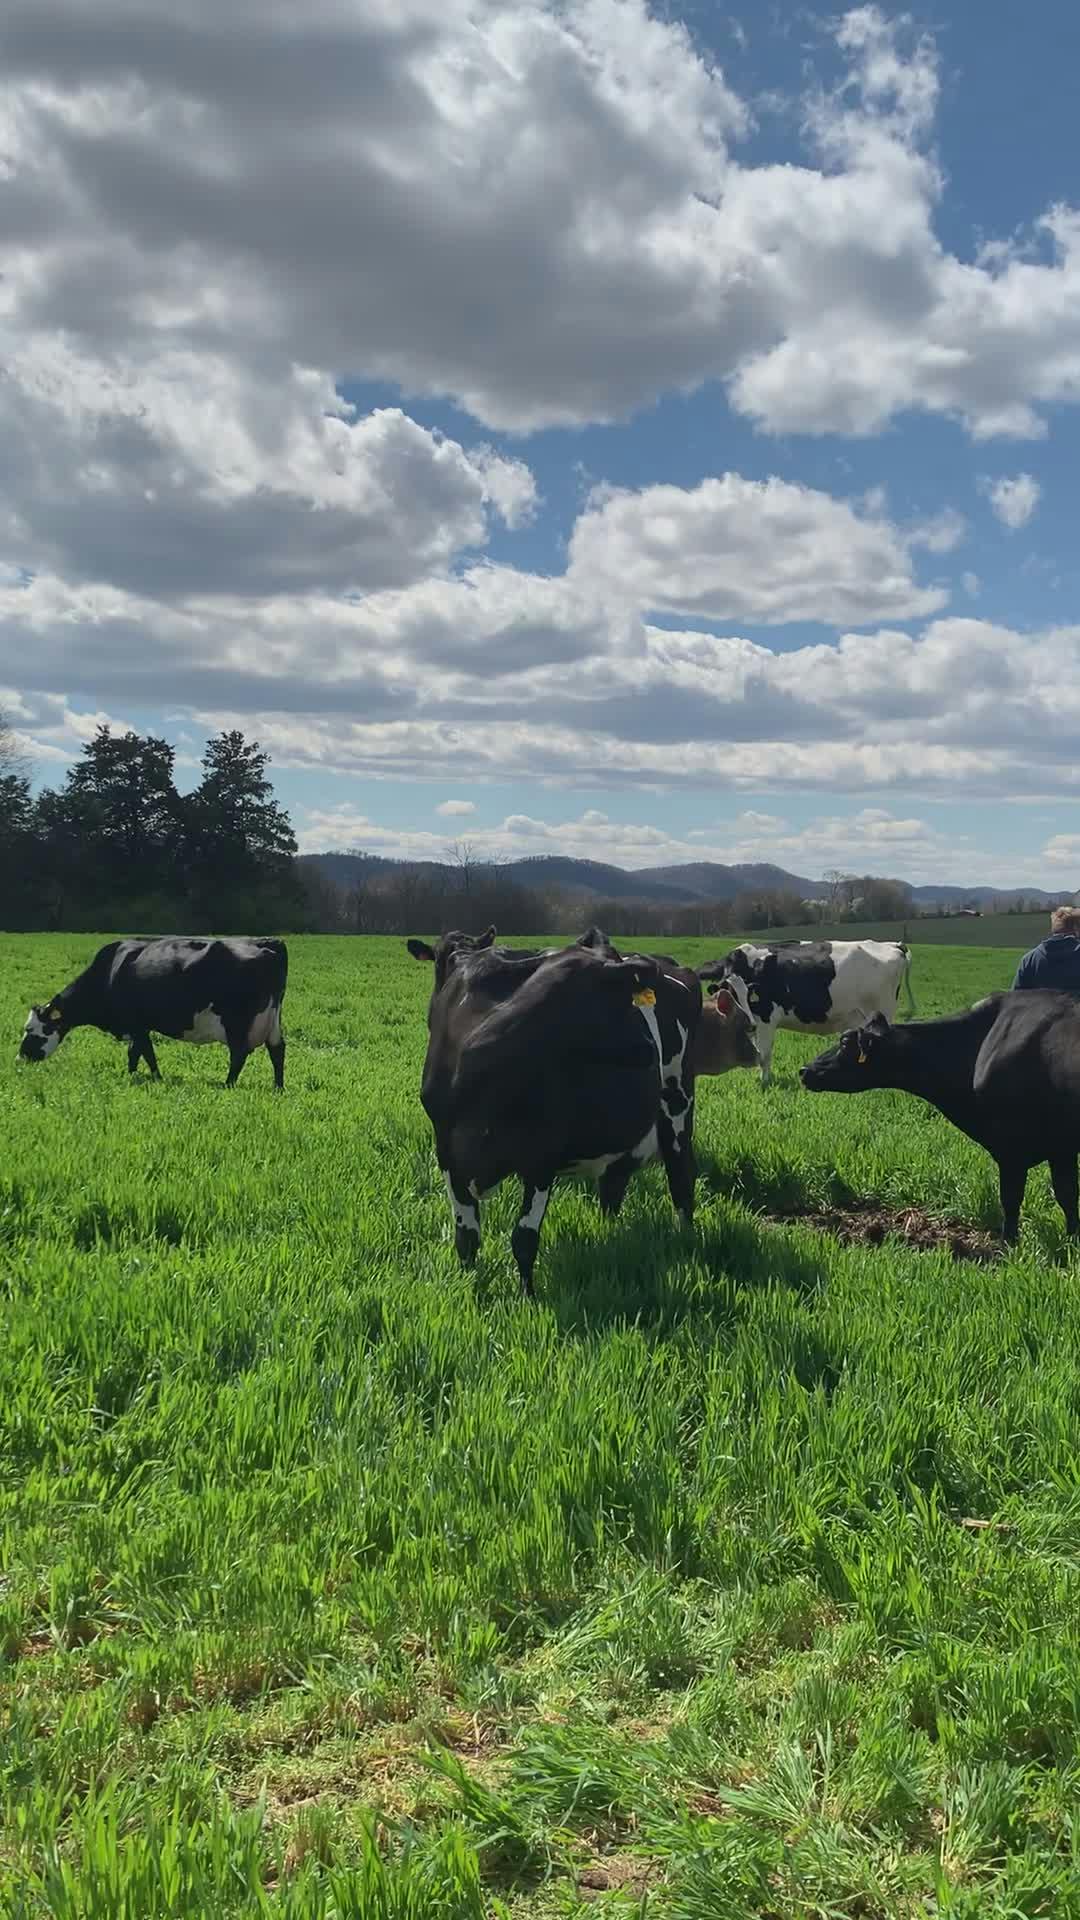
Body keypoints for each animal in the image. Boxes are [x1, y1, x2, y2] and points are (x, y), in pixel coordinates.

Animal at [19, 936, 288, 1089]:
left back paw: (228, 1085)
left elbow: (145, 1053)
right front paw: (132, 1075)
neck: (110, 971)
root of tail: (267, 942)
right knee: (277, 1050)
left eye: (31, 1029)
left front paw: (156, 1078)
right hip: (273, 1021)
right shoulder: (139, 1026)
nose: (19, 1058)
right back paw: (278, 1087)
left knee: (239, 1054)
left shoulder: (136, 1025)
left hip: (237, 1022)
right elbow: (135, 1053)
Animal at [406, 925, 758, 1294]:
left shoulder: (541, 1157)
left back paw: (685, 1238)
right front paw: (471, 1285)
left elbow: (523, 1238)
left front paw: (527, 1296)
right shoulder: (447, 1153)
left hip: (677, 1103)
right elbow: (467, 1236)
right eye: (611, 999)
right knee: (615, 1181)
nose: (650, 1048)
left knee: (681, 1176)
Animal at [698, 939, 916, 1087]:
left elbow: (764, 1054)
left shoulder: (766, 1018)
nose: (750, 1022)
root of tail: (893, 945)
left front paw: (764, 1082)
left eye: (747, 994)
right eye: (729, 993)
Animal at [799, 990, 1080, 1243]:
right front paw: (1072, 1243)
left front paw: (1008, 1246)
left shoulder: (1011, 1147)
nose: (805, 1069)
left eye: (845, 1041)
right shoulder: (1060, 1148)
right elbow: (1067, 1196)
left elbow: (1011, 1200)